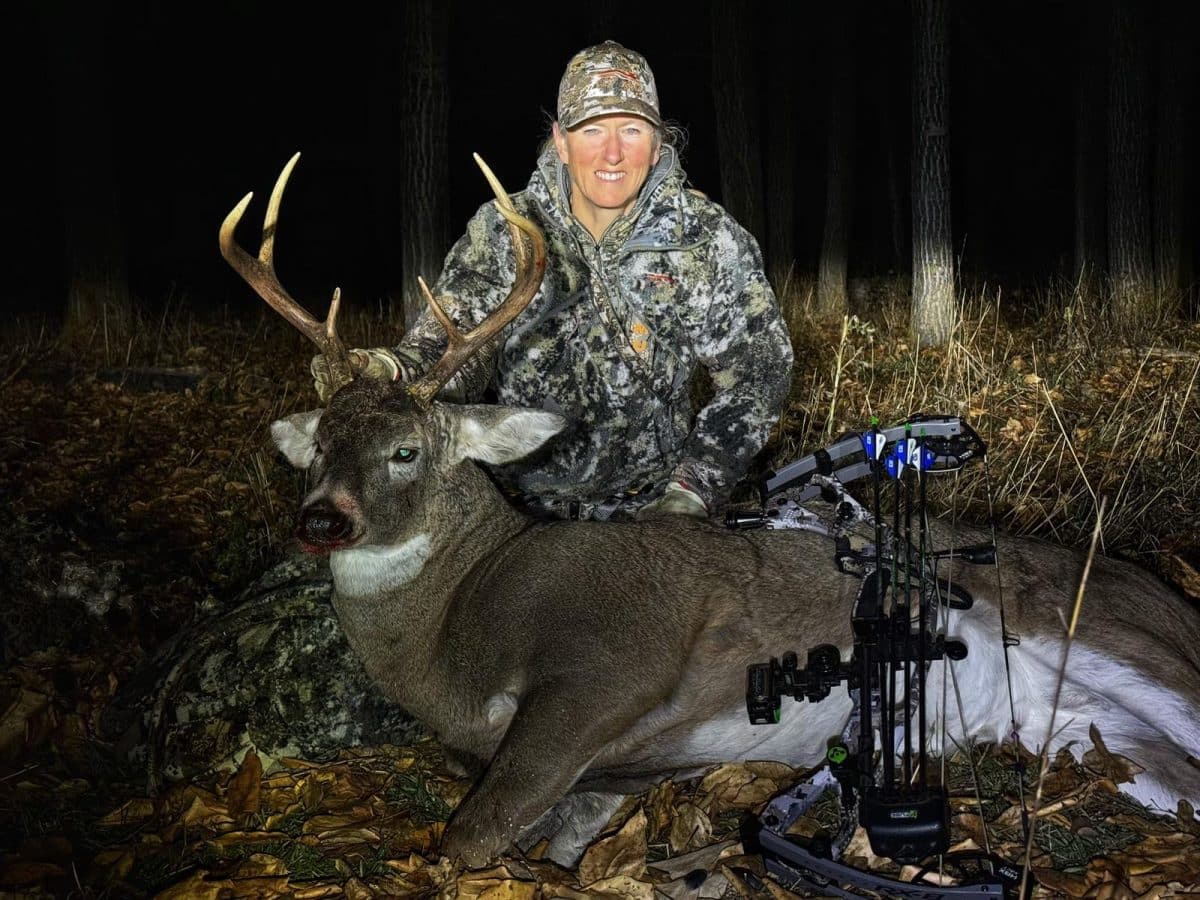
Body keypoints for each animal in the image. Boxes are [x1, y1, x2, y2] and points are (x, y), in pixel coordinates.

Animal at [221, 154, 1200, 869]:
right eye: (319, 446)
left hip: (1117, 631)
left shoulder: (616, 659)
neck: (457, 630)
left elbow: (470, 835)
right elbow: (560, 827)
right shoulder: (616, 762)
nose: (324, 522)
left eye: (407, 451)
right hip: (1081, 734)